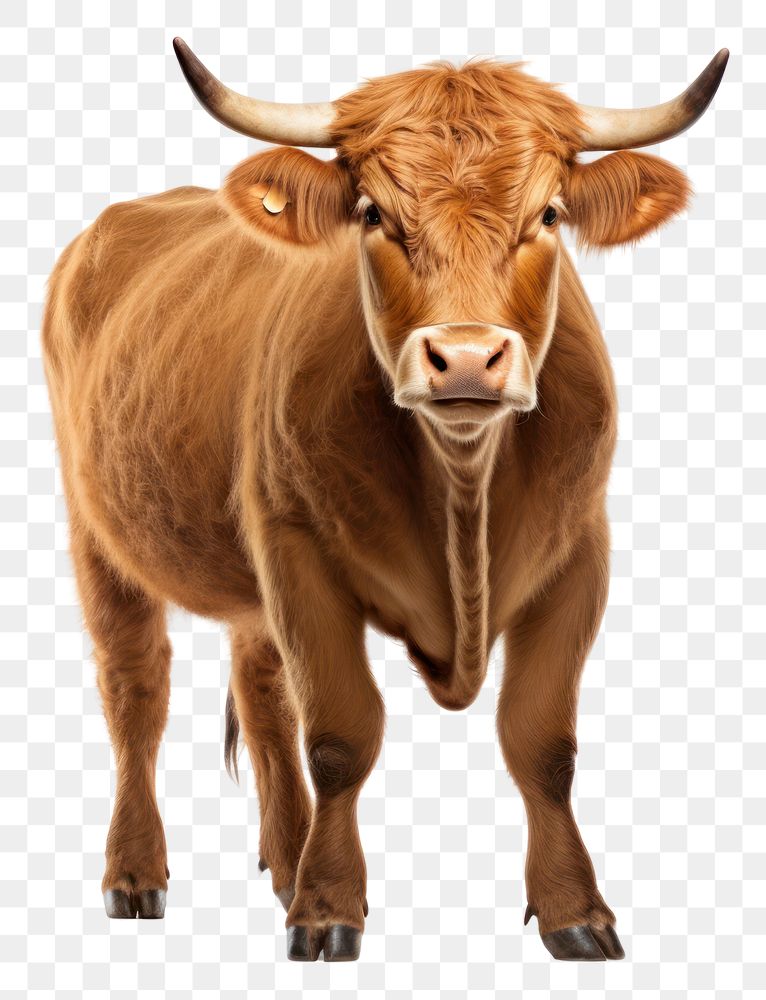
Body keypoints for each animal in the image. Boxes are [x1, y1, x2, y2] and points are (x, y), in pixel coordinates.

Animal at [41, 39, 728, 962]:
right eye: (371, 212)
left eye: (549, 214)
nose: (467, 359)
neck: (462, 487)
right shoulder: (298, 552)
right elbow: (340, 734)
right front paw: (328, 911)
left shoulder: (579, 555)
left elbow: (543, 742)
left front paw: (575, 912)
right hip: (98, 533)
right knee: (136, 691)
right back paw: (136, 873)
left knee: (261, 694)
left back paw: (286, 861)